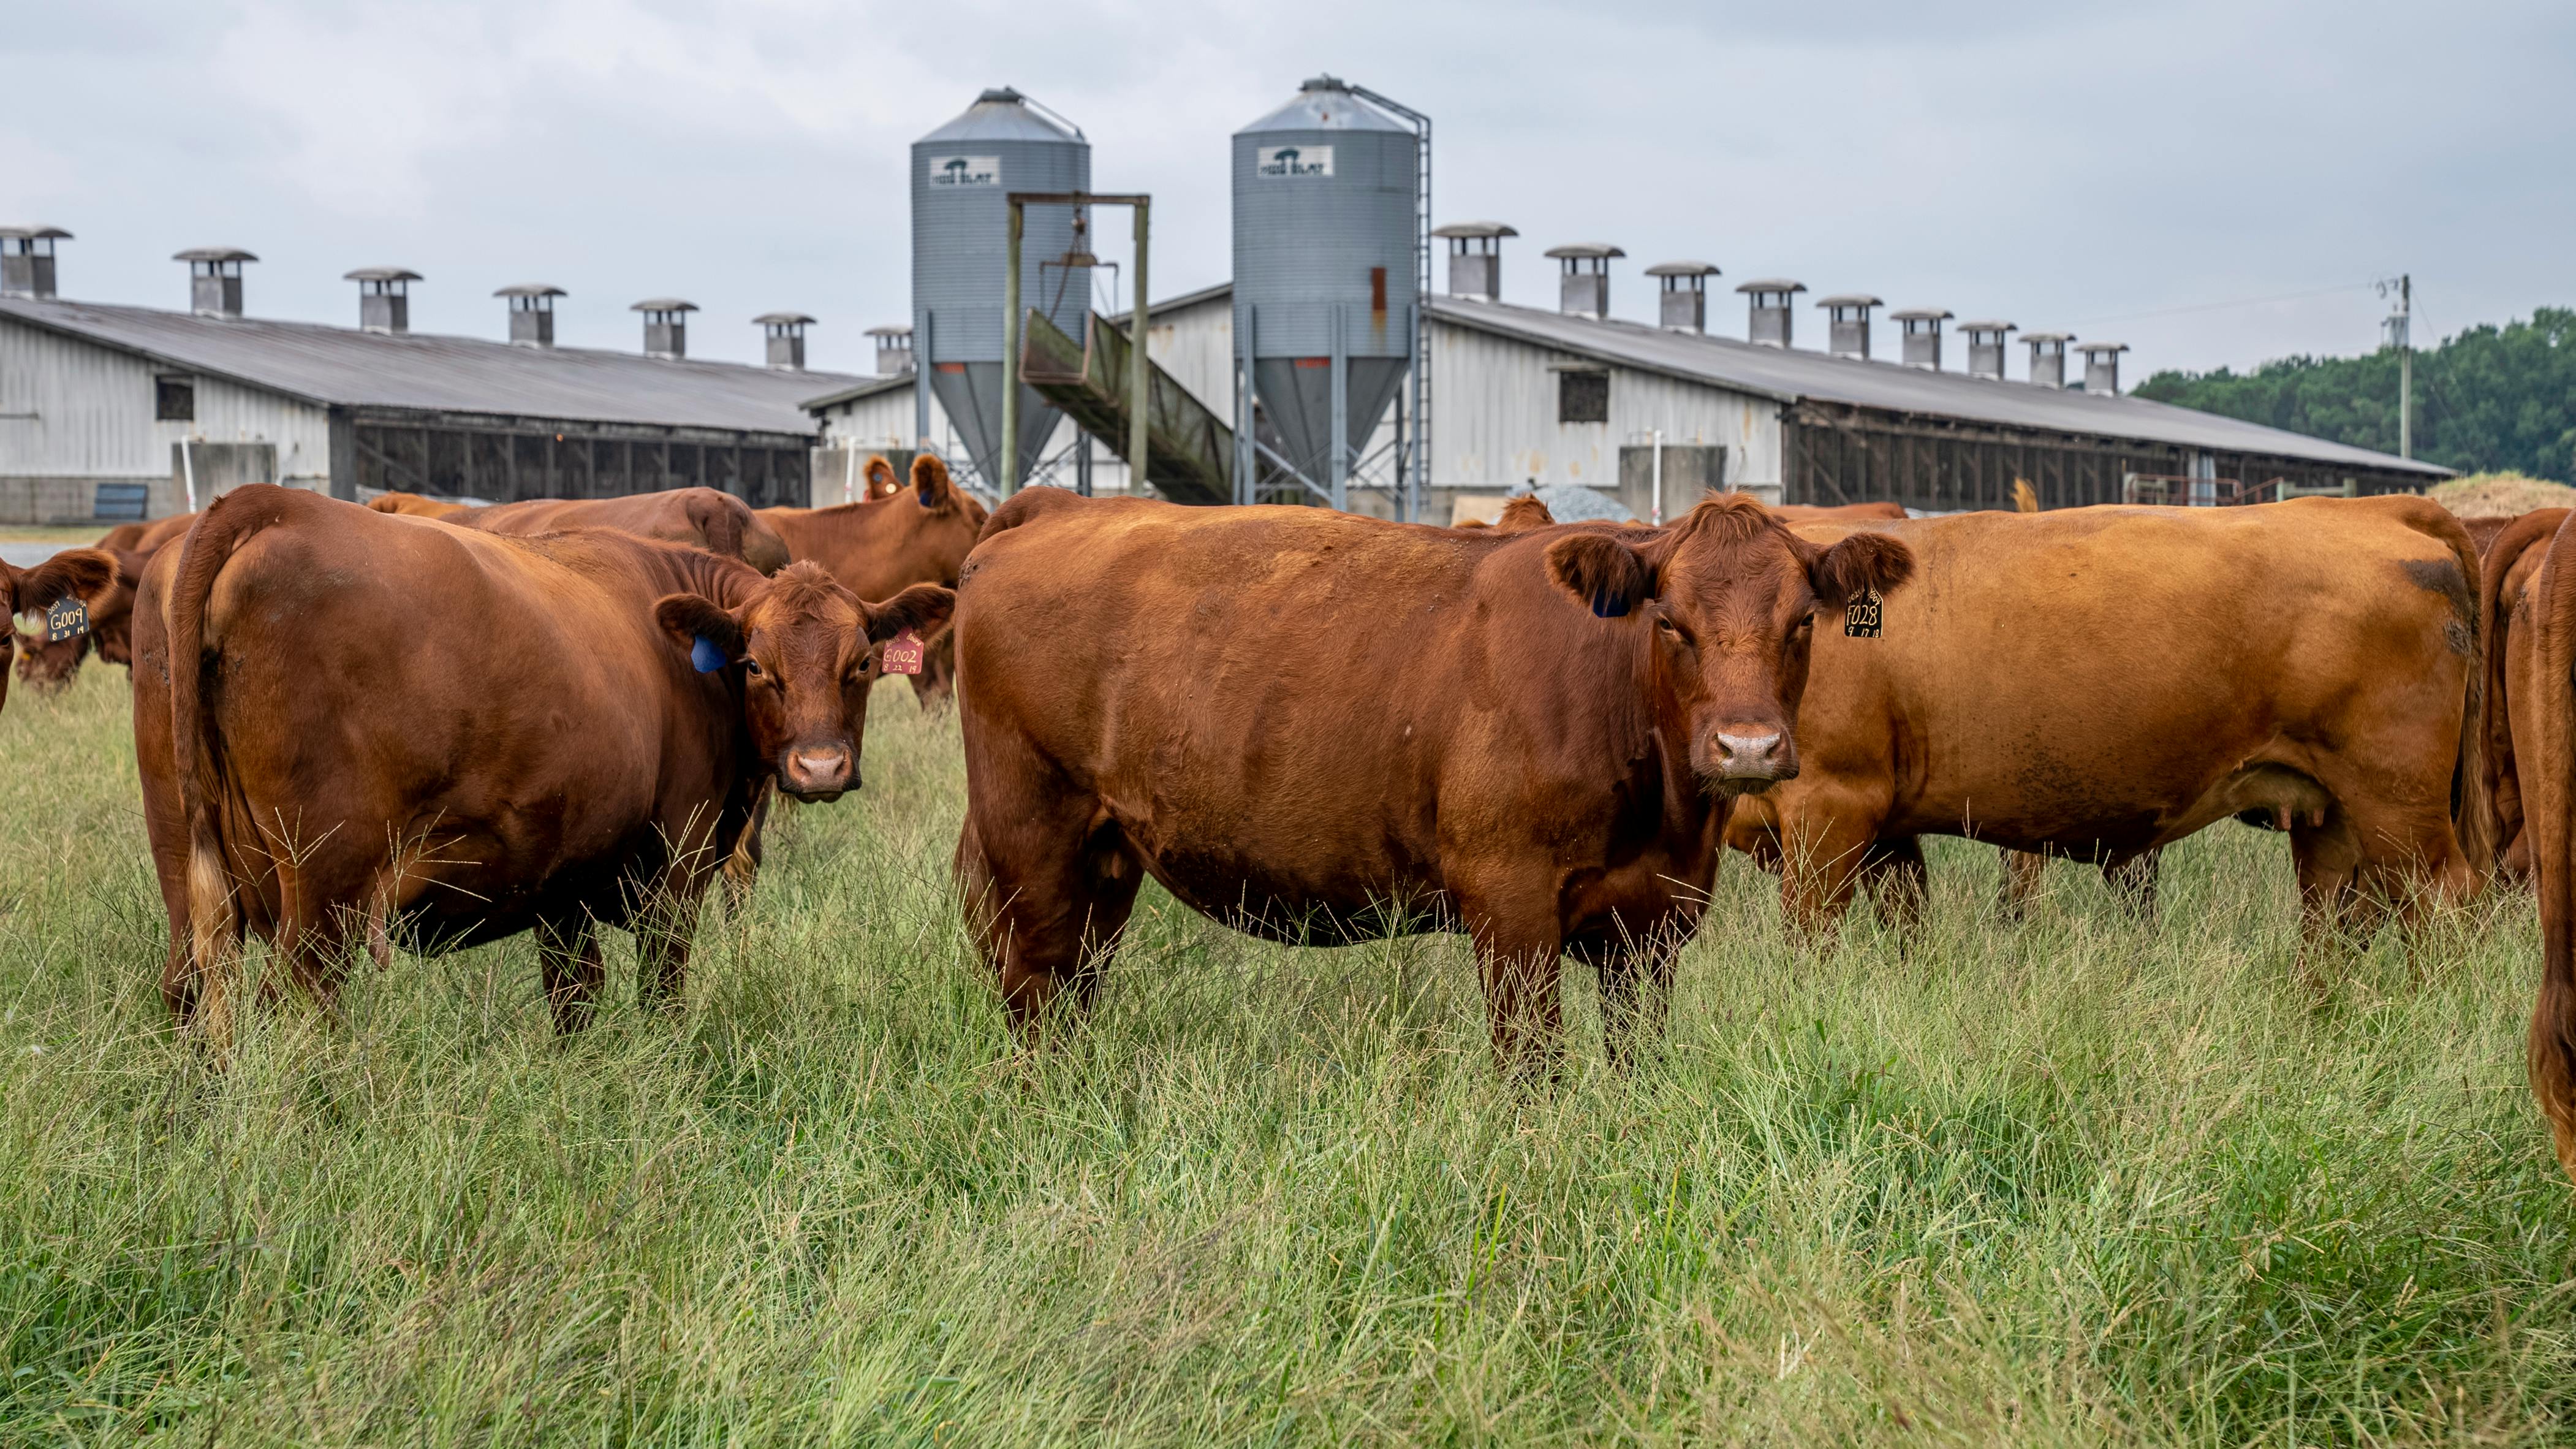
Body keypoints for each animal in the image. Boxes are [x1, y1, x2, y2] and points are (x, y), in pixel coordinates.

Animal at [131, 484, 953, 1045]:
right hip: (323, 883)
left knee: (187, 987)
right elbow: (661, 989)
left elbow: (576, 998)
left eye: (860, 662)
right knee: (300, 998)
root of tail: (268, 503)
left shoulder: (562, 880)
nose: (820, 768)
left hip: (182, 855)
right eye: (755, 666)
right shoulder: (677, 864)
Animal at [948, 491, 1915, 1075]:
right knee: (1035, 987)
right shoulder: (1509, 904)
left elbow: (1635, 1061)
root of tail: (1067, 505)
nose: (1746, 748)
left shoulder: (1653, 925)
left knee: (1075, 986)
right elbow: (1532, 1066)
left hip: (1106, 856)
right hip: (1033, 834)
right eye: (1670, 622)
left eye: (1802, 622)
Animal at [1723, 498, 2485, 959]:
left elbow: (1808, 939)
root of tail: (2376, 507)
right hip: (2329, 811)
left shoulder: (1831, 805)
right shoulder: (1887, 828)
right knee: (2332, 917)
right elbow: (1907, 929)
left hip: (2397, 804)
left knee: (2441, 903)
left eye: (1796, 619)